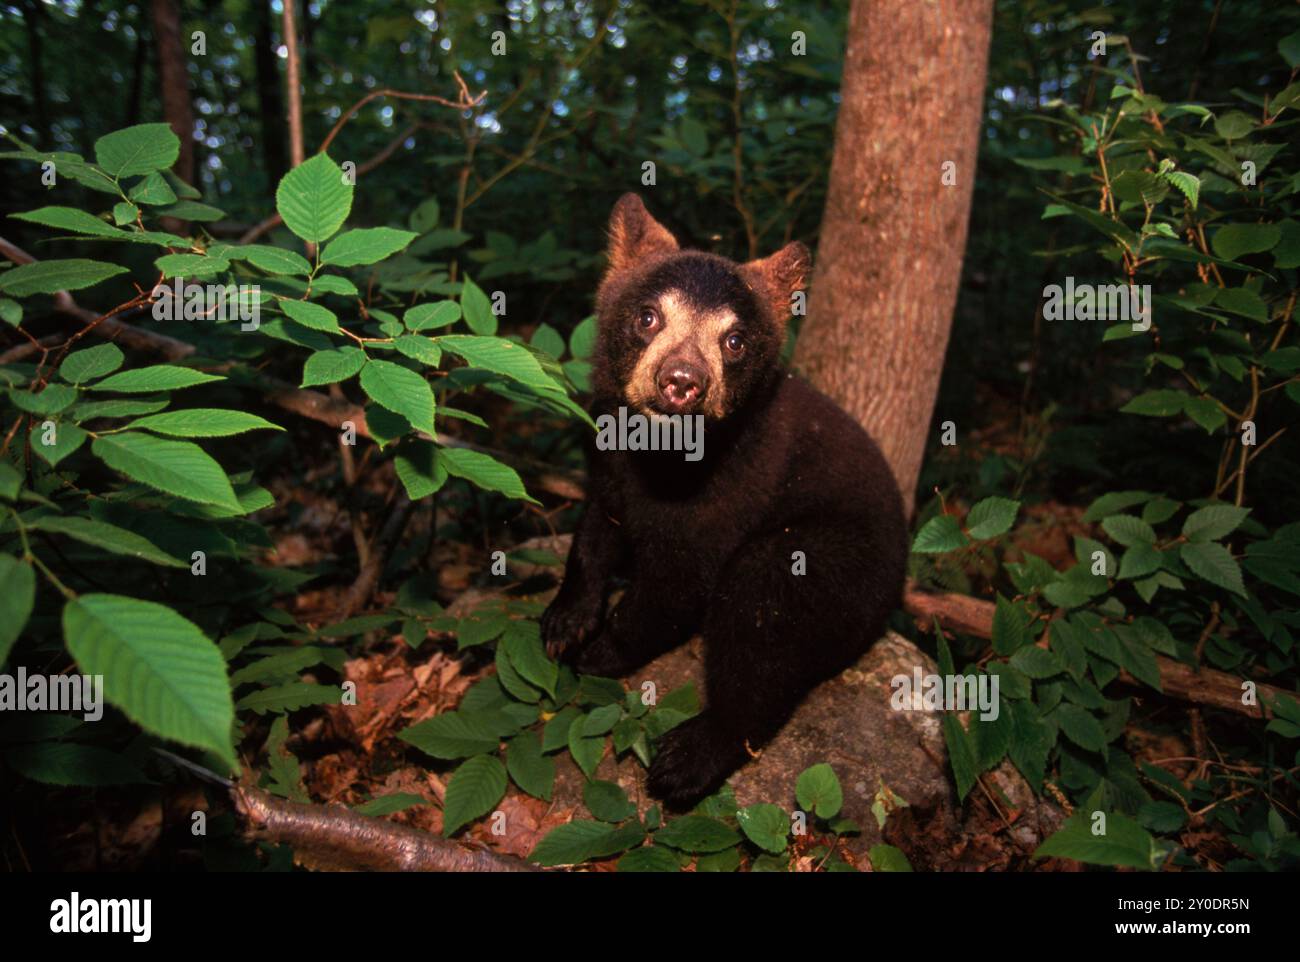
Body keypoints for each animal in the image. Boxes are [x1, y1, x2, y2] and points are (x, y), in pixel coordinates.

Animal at [541, 193, 908, 809]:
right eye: (648, 317)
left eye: (734, 341)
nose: (681, 380)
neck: (662, 456)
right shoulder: (610, 461)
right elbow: (596, 531)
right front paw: (565, 621)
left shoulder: (731, 492)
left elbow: (676, 587)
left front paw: (600, 653)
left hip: (837, 563)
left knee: (762, 614)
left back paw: (690, 757)